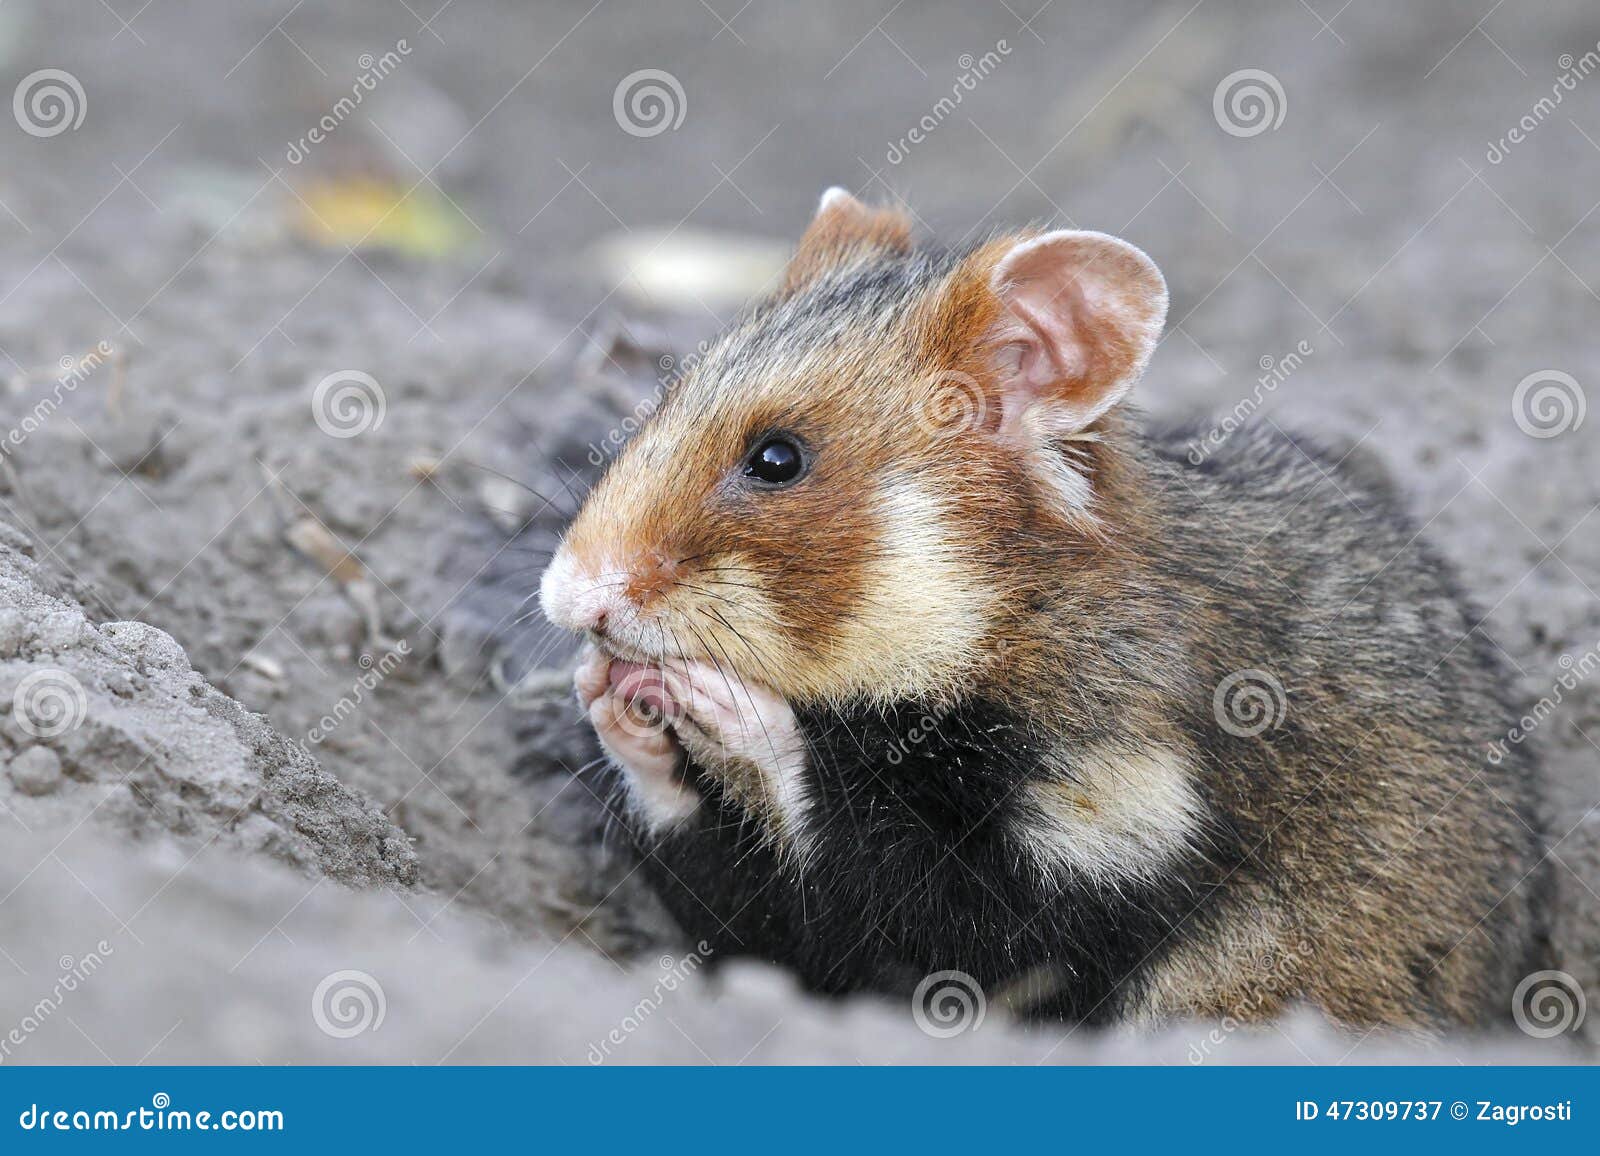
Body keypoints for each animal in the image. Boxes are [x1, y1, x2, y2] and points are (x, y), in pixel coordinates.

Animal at [540, 188, 1548, 1030]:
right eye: (659, 399)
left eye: (778, 458)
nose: (566, 599)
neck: (1010, 617)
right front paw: (610, 700)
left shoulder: (1108, 835)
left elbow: (915, 892)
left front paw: (725, 707)